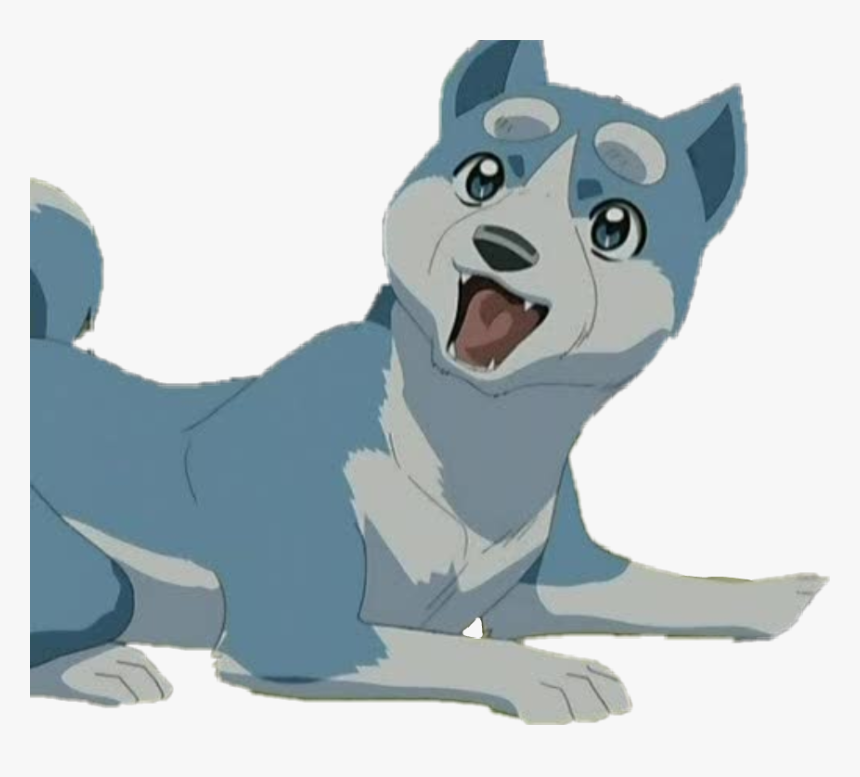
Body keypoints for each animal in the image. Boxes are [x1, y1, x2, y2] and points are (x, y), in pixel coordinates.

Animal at [30, 40, 828, 724]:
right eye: (484, 176)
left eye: (613, 225)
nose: (503, 246)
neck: (474, 436)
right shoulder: (305, 631)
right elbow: (452, 649)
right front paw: (555, 674)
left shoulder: (551, 586)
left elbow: (659, 587)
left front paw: (776, 597)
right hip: (96, 580)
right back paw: (102, 665)